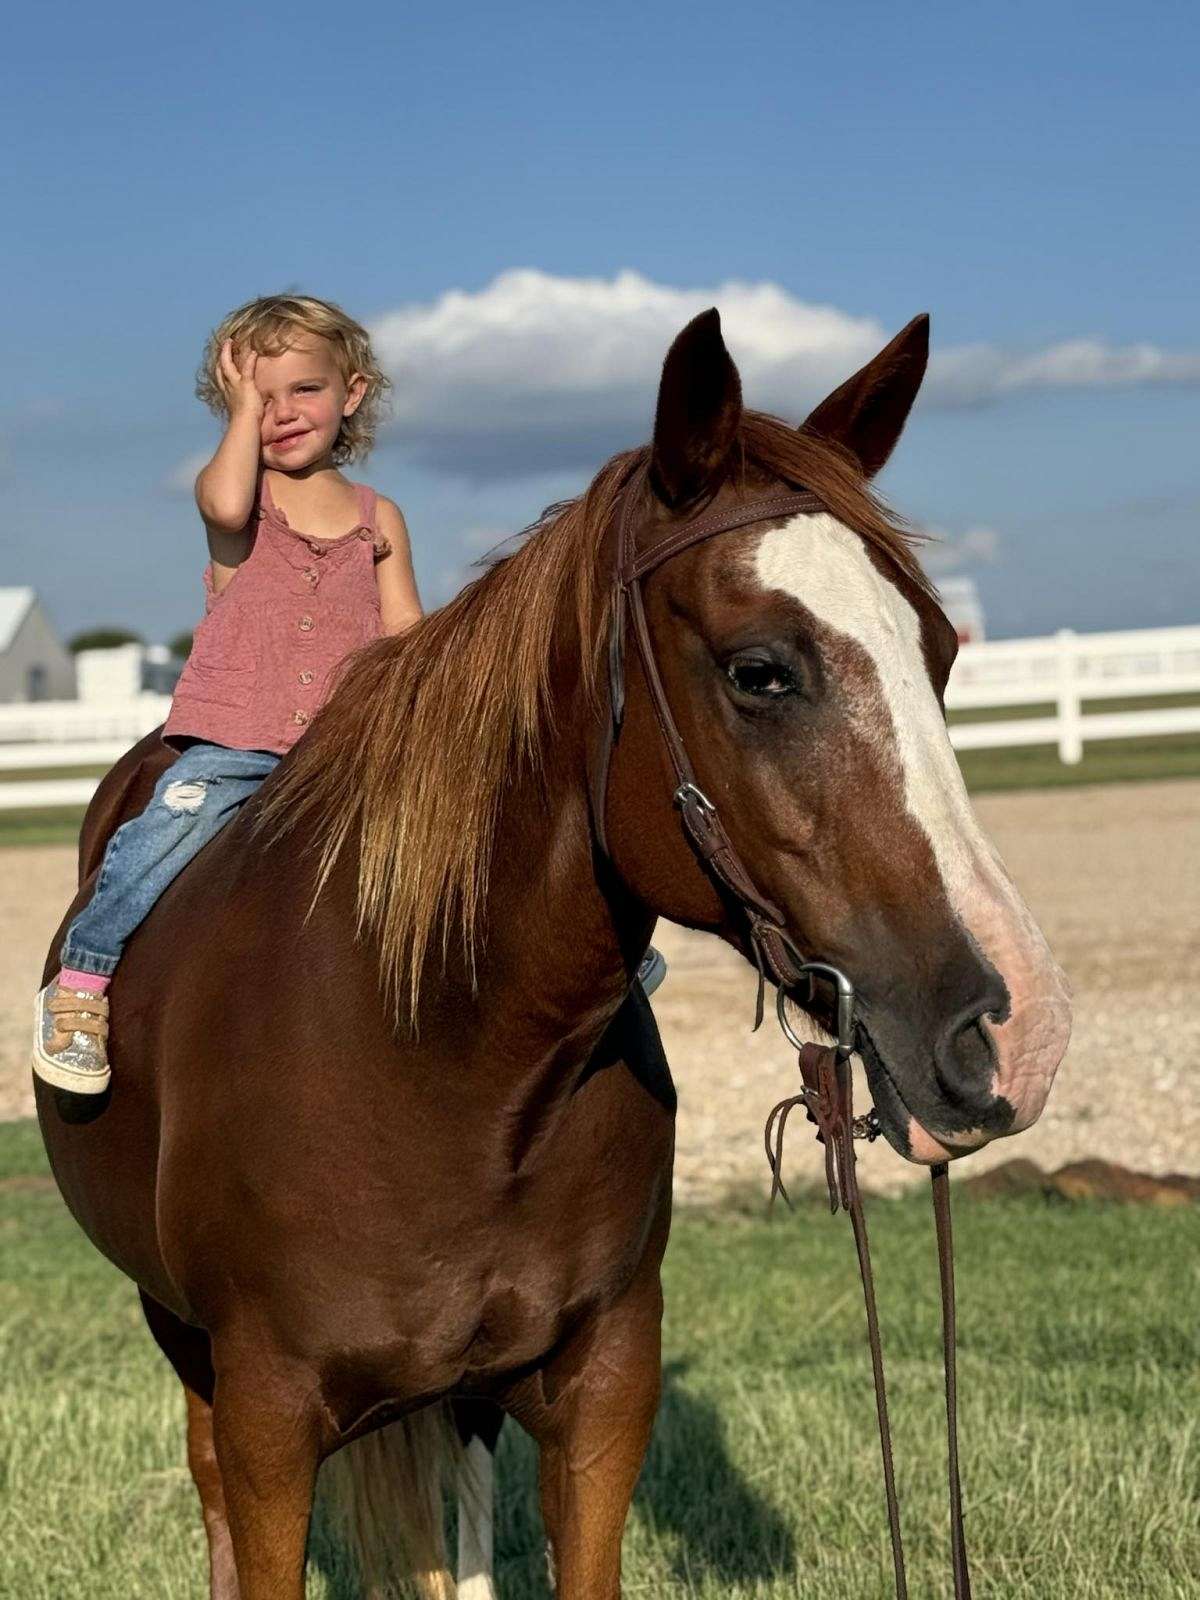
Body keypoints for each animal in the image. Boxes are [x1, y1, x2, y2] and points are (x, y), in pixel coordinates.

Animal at [36, 307, 1071, 1599]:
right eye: (761, 670)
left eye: (939, 653)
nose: (1015, 1028)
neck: (439, 1053)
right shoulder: (268, 1414)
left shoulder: (603, 1389)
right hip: (180, 1338)